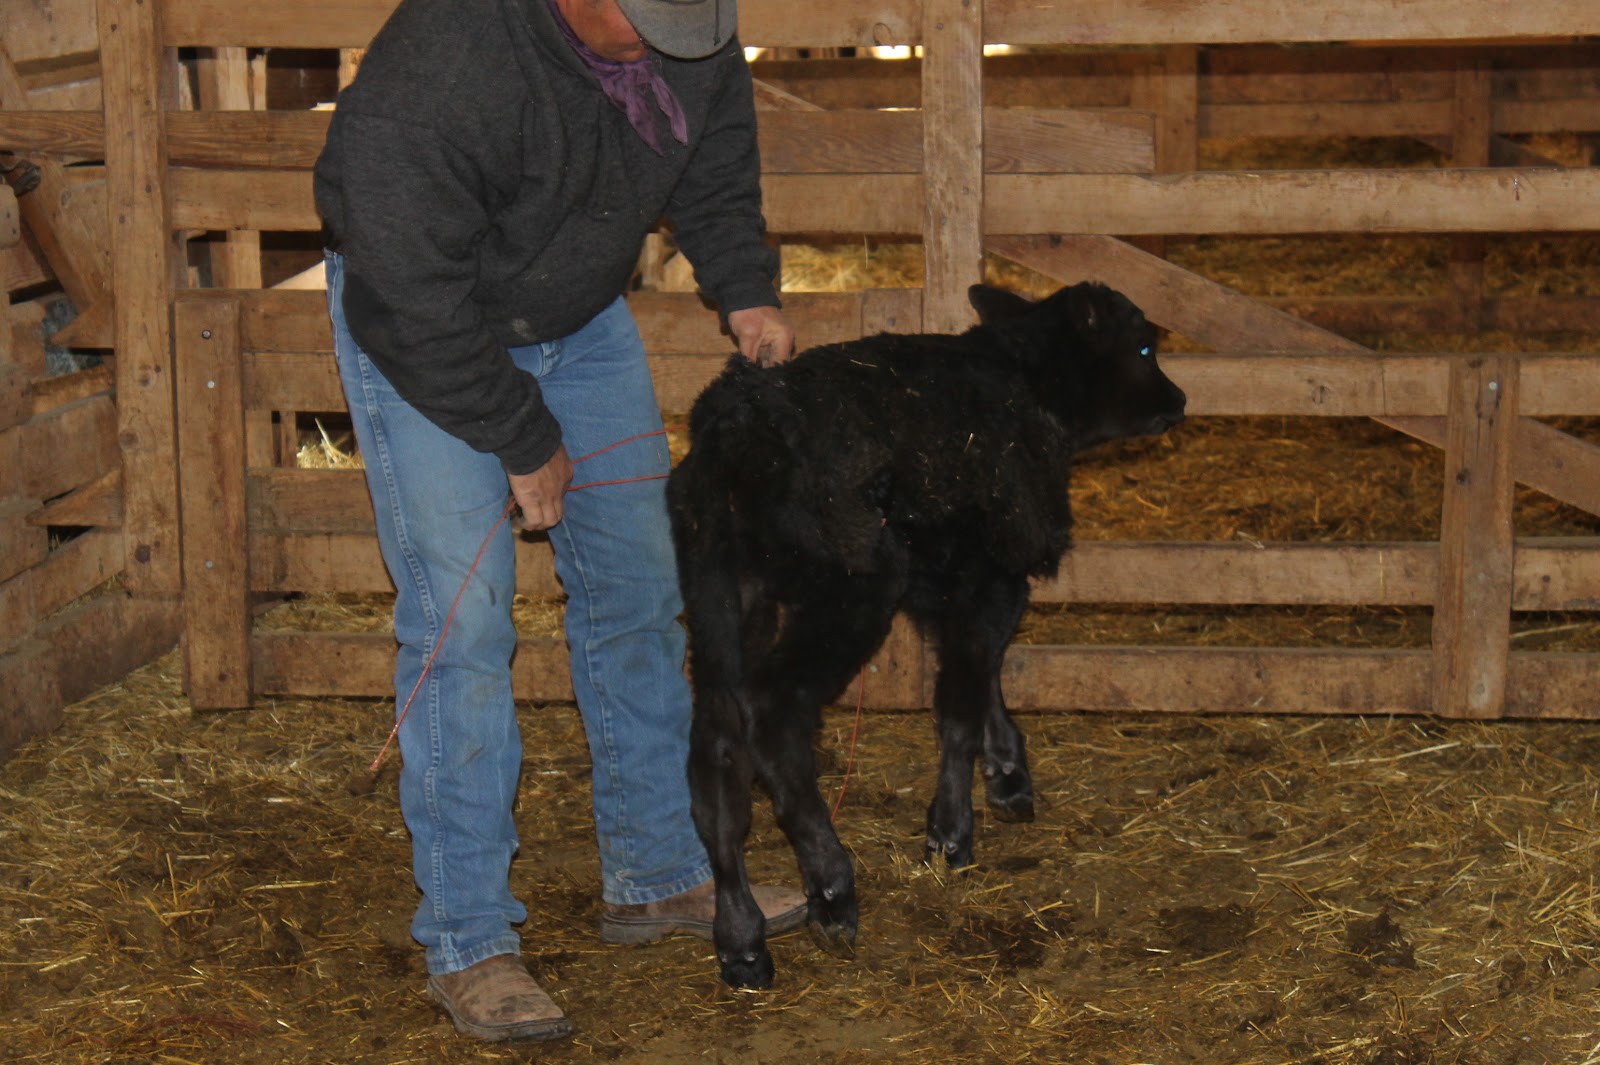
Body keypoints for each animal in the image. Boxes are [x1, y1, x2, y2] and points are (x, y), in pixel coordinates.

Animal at [666, 281, 1187, 989]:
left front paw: (1007, 774)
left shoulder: (952, 584)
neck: (1026, 392)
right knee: (772, 716)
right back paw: (830, 886)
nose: (1179, 401)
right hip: (848, 588)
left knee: (715, 754)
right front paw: (951, 830)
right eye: (1143, 348)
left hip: (722, 598)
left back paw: (741, 937)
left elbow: (980, 673)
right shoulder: (988, 571)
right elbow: (960, 703)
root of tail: (733, 430)